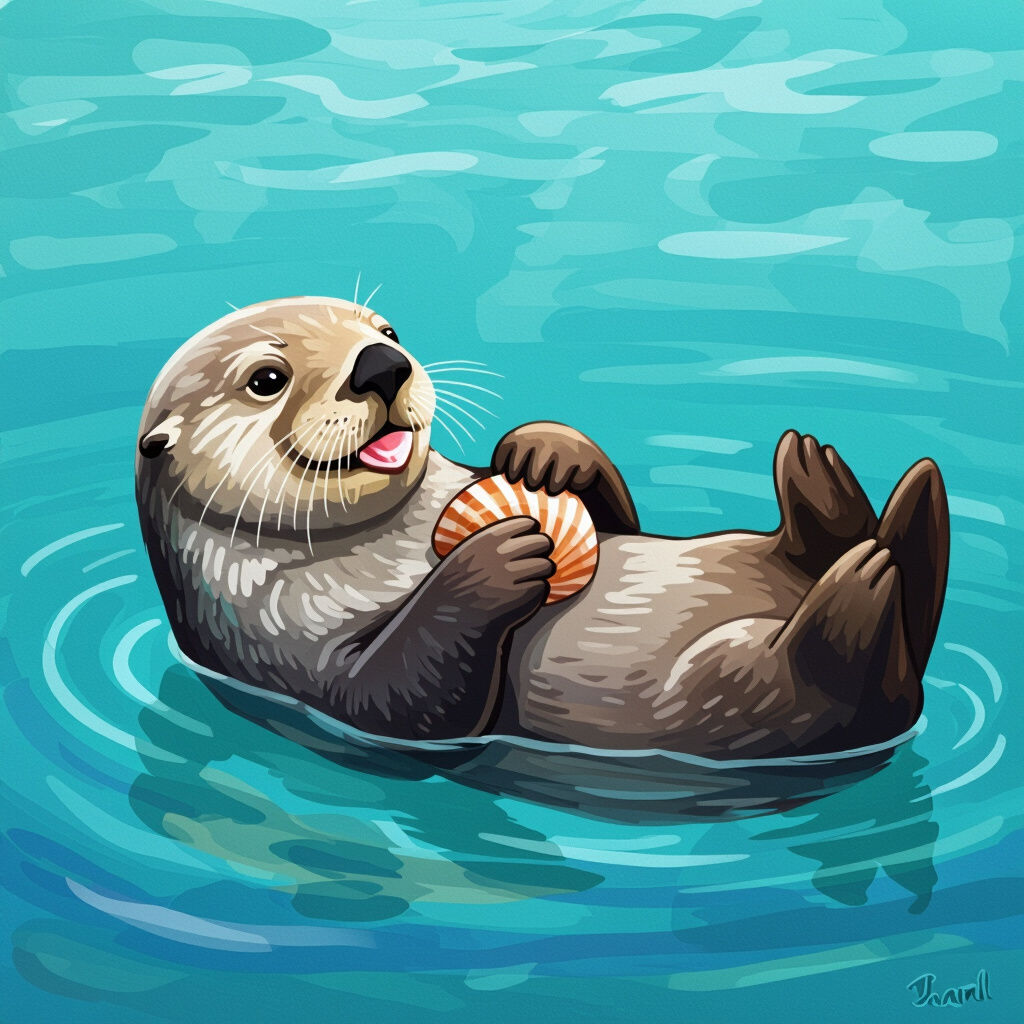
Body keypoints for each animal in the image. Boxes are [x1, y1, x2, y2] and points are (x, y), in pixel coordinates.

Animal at [135, 296, 949, 758]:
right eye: (266, 380)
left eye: (388, 329)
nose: (381, 364)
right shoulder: (280, 657)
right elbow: (397, 703)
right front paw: (494, 562)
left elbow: (611, 511)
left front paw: (545, 451)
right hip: (736, 705)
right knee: (826, 688)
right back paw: (857, 590)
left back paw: (822, 485)